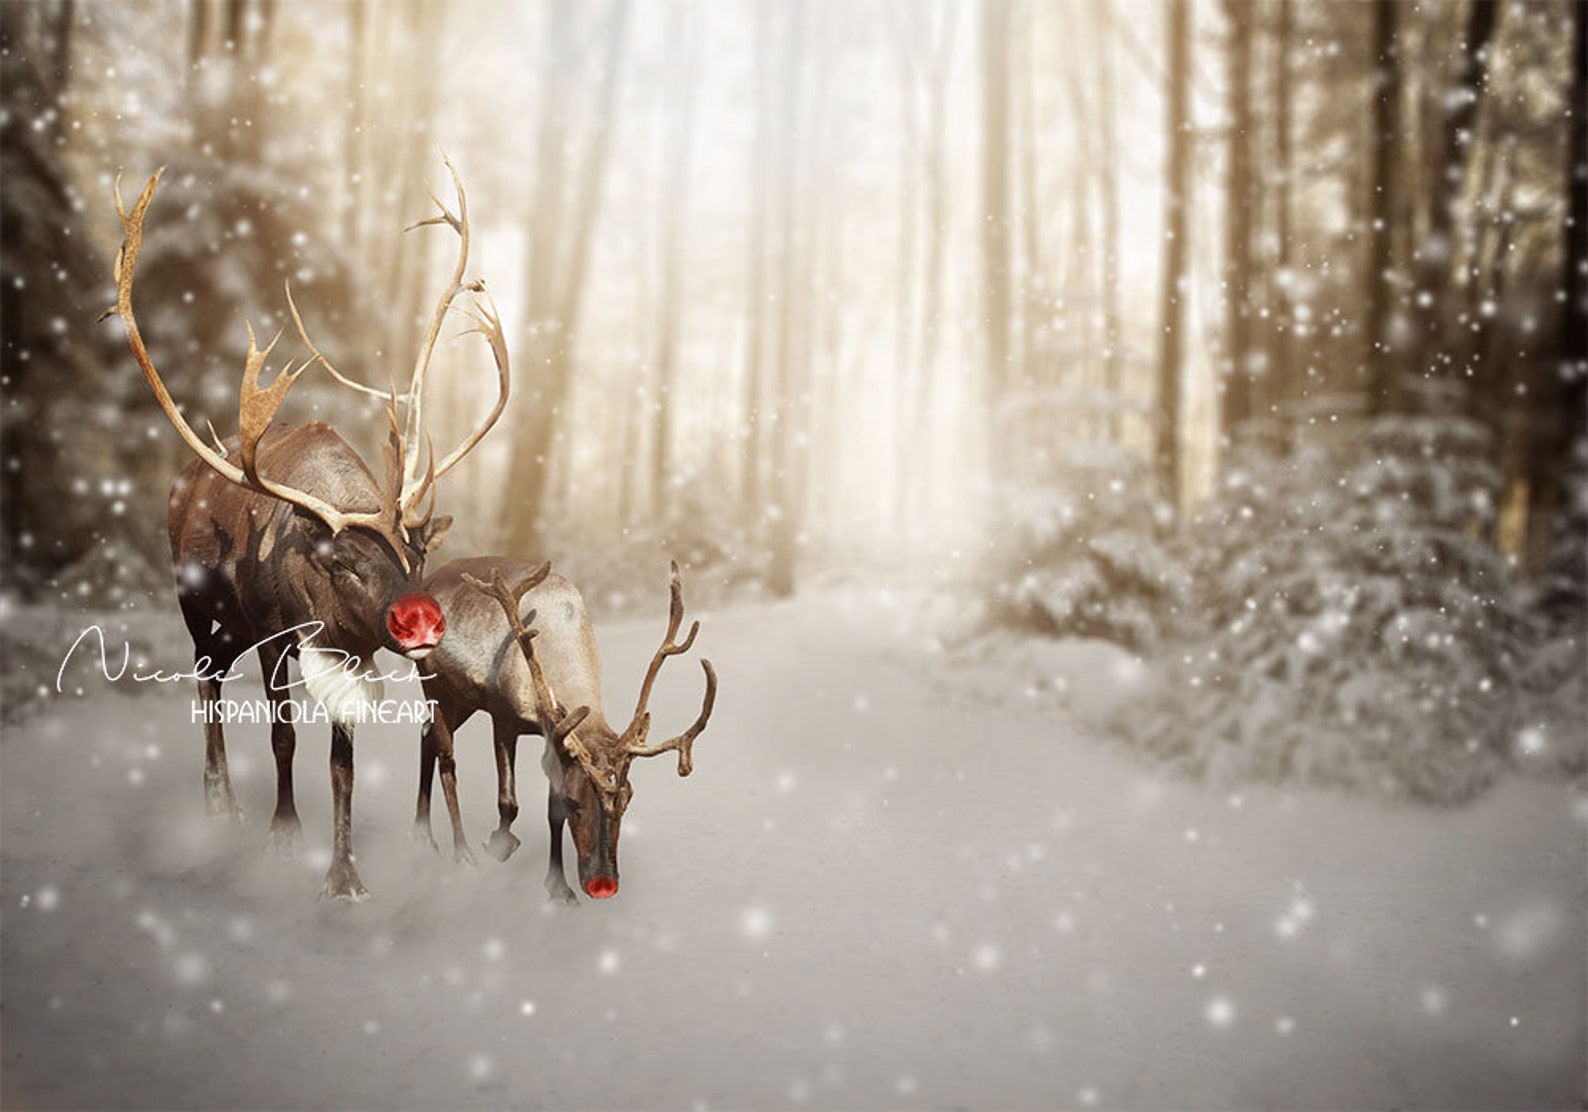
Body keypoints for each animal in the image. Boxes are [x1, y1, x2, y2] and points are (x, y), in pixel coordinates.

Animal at [105, 157, 509, 900]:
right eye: (338, 560)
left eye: (414, 551)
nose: (419, 617)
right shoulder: (275, 635)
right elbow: (283, 737)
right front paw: (285, 836)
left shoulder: (348, 650)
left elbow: (342, 762)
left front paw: (345, 874)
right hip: (196, 607)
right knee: (205, 685)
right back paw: (220, 802)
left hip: (233, 628)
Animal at [411, 558, 716, 902]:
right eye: (574, 802)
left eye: (628, 798)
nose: (603, 885)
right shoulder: (502, 716)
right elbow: (509, 801)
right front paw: (499, 844)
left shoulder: (554, 739)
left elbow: (551, 813)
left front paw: (559, 887)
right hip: (435, 683)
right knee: (446, 757)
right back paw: (461, 853)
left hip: (463, 700)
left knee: (426, 735)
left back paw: (422, 835)